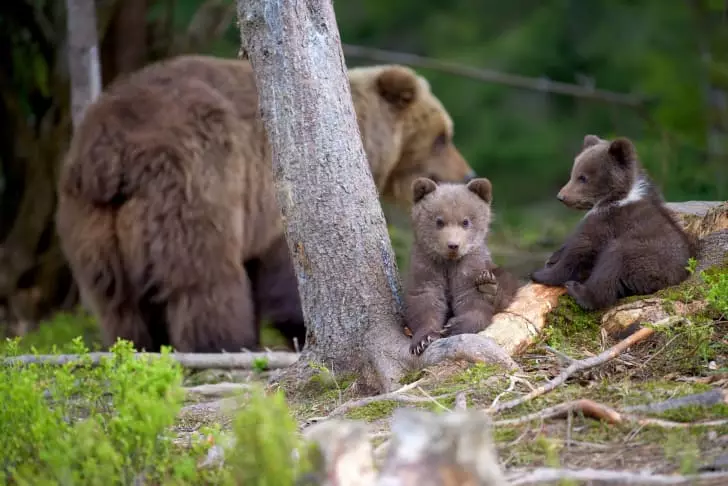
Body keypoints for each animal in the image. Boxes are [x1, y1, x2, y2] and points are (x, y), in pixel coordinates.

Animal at [57, 55, 478, 354]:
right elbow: (285, 269)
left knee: (117, 297)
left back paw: (139, 345)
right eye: (442, 137)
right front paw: (300, 326)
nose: (467, 170)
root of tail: (112, 152)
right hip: (197, 180)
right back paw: (226, 344)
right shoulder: (273, 196)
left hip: (92, 219)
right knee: (206, 275)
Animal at [404, 177, 516, 356]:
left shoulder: (470, 264)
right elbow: (424, 299)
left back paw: (488, 285)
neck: (449, 263)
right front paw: (423, 339)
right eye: (439, 221)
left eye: (465, 221)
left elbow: (470, 297)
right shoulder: (426, 264)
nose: (453, 245)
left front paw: (455, 326)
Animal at [528, 135, 692, 310]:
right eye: (573, 173)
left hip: (647, 258)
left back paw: (578, 291)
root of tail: (672, 281)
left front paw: (539, 274)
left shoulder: (608, 221)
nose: (561, 196)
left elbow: (581, 248)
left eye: (583, 177)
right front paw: (553, 257)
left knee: (613, 263)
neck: (616, 197)